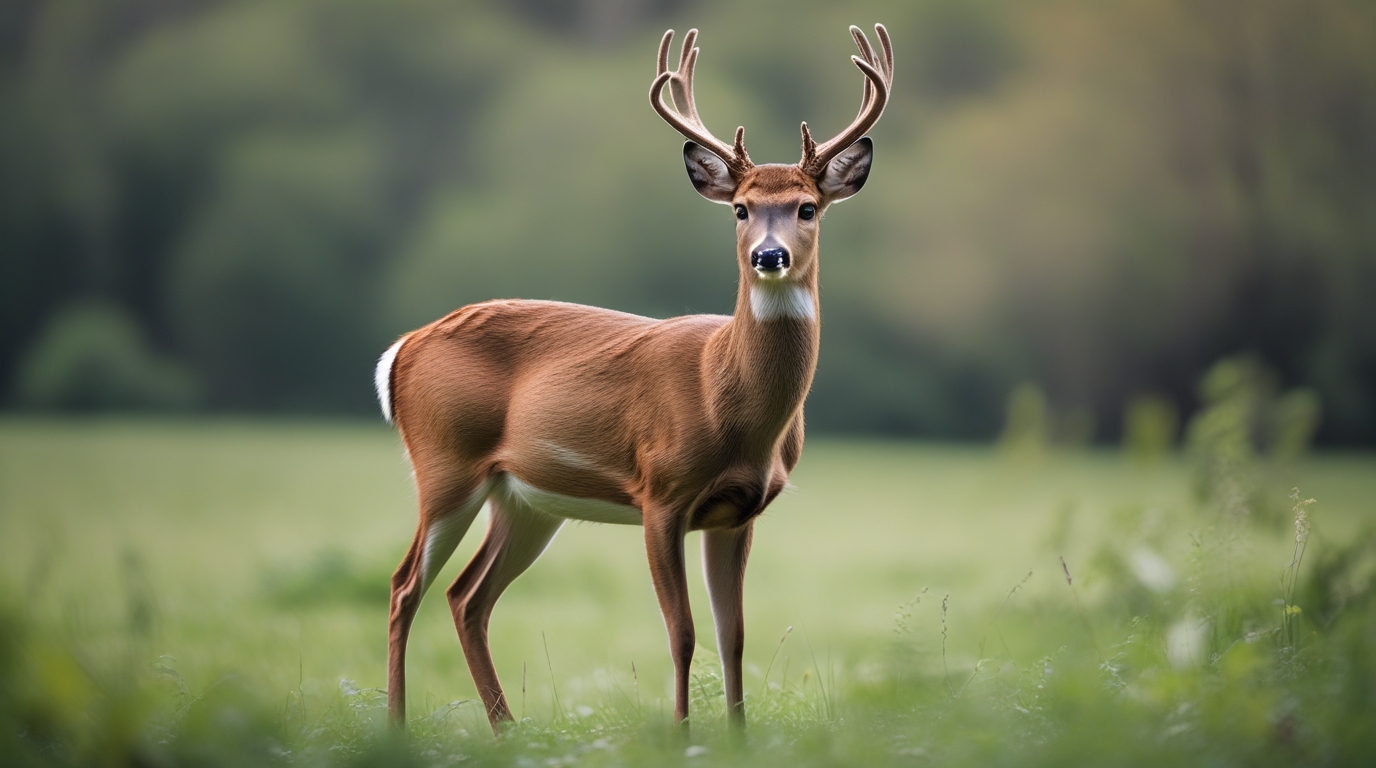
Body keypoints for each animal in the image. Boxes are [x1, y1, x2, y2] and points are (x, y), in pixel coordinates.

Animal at [378, 23, 892, 734]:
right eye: (740, 209)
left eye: (808, 207)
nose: (770, 255)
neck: (727, 400)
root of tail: (401, 350)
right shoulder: (662, 492)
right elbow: (682, 632)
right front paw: (680, 735)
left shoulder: (739, 511)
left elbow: (734, 635)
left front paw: (738, 737)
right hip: (445, 460)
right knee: (405, 586)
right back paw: (398, 728)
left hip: (525, 498)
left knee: (466, 596)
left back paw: (507, 730)